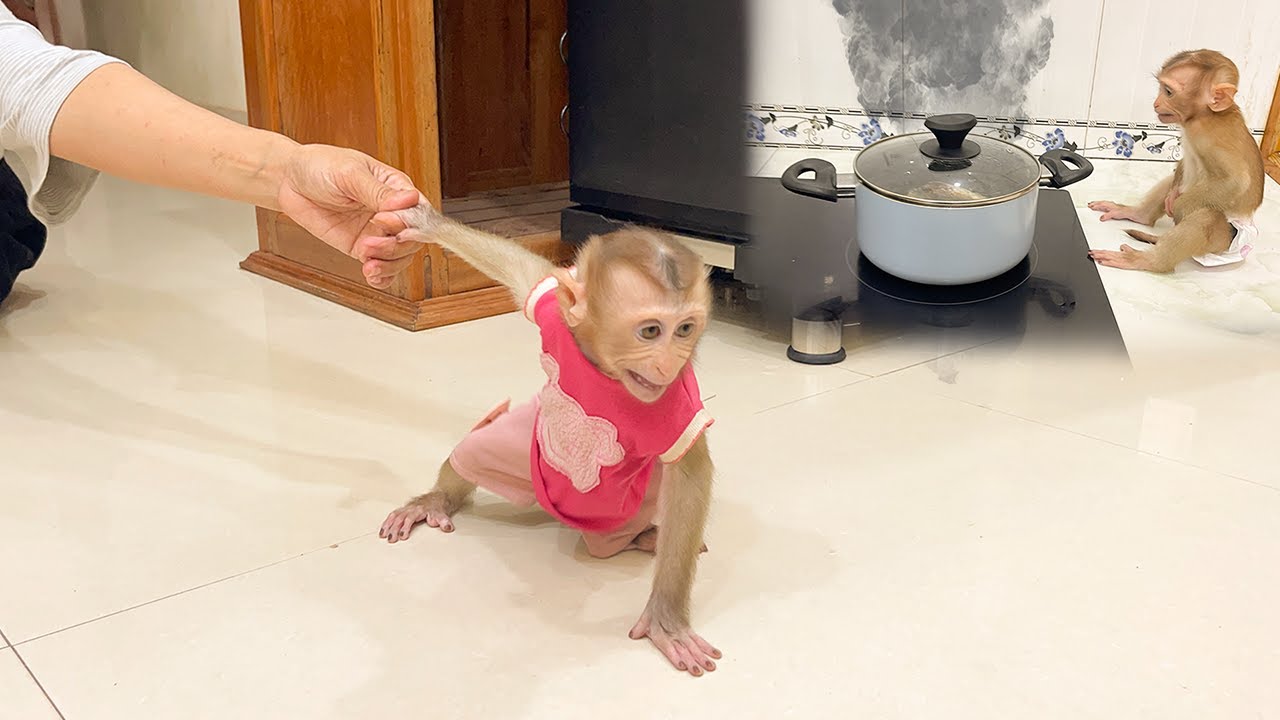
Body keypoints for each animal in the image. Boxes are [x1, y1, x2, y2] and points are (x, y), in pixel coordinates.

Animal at [374, 202, 722, 677]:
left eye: (685, 329)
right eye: (652, 331)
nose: (670, 361)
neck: (602, 369)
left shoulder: (674, 403)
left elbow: (689, 475)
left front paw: (667, 616)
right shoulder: (553, 314)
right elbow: (527, 274)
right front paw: (430, 225)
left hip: (625, 508)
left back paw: (642, 537)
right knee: (474, 450)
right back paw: (438, 499)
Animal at [1087, 49, 1264, 272]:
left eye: (1169, 92)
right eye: (1162, 89)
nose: (1156, 103)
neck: (1202, 115)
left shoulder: (1210, 135)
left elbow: (1236, 181)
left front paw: (1179, 208)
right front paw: (1172, 197)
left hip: (1226, 239)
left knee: (1205, 217)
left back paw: (1151, 261)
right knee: (1172, 185)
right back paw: (1140, 214)